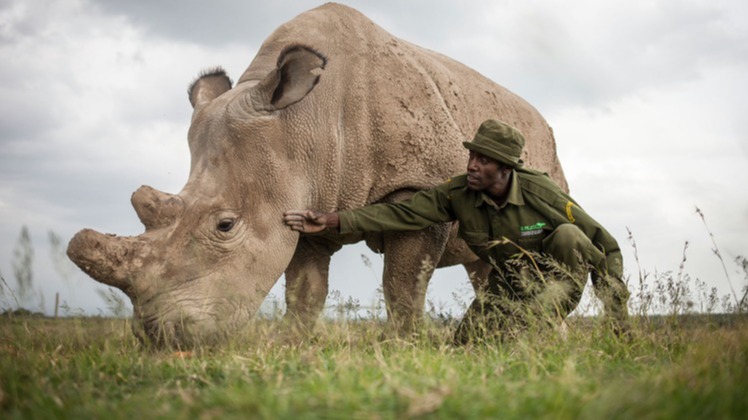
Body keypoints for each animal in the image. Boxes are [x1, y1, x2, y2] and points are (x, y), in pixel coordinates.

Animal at [67, 3, 567, 346]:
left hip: (545, 151)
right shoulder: (304, 191)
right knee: (486, 263)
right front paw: (294, 344)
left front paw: (404, 345)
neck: (306, 119)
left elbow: (403, 282)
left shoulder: (418, 184)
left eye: (225, 225)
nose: (161, 337)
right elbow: (305, 288)